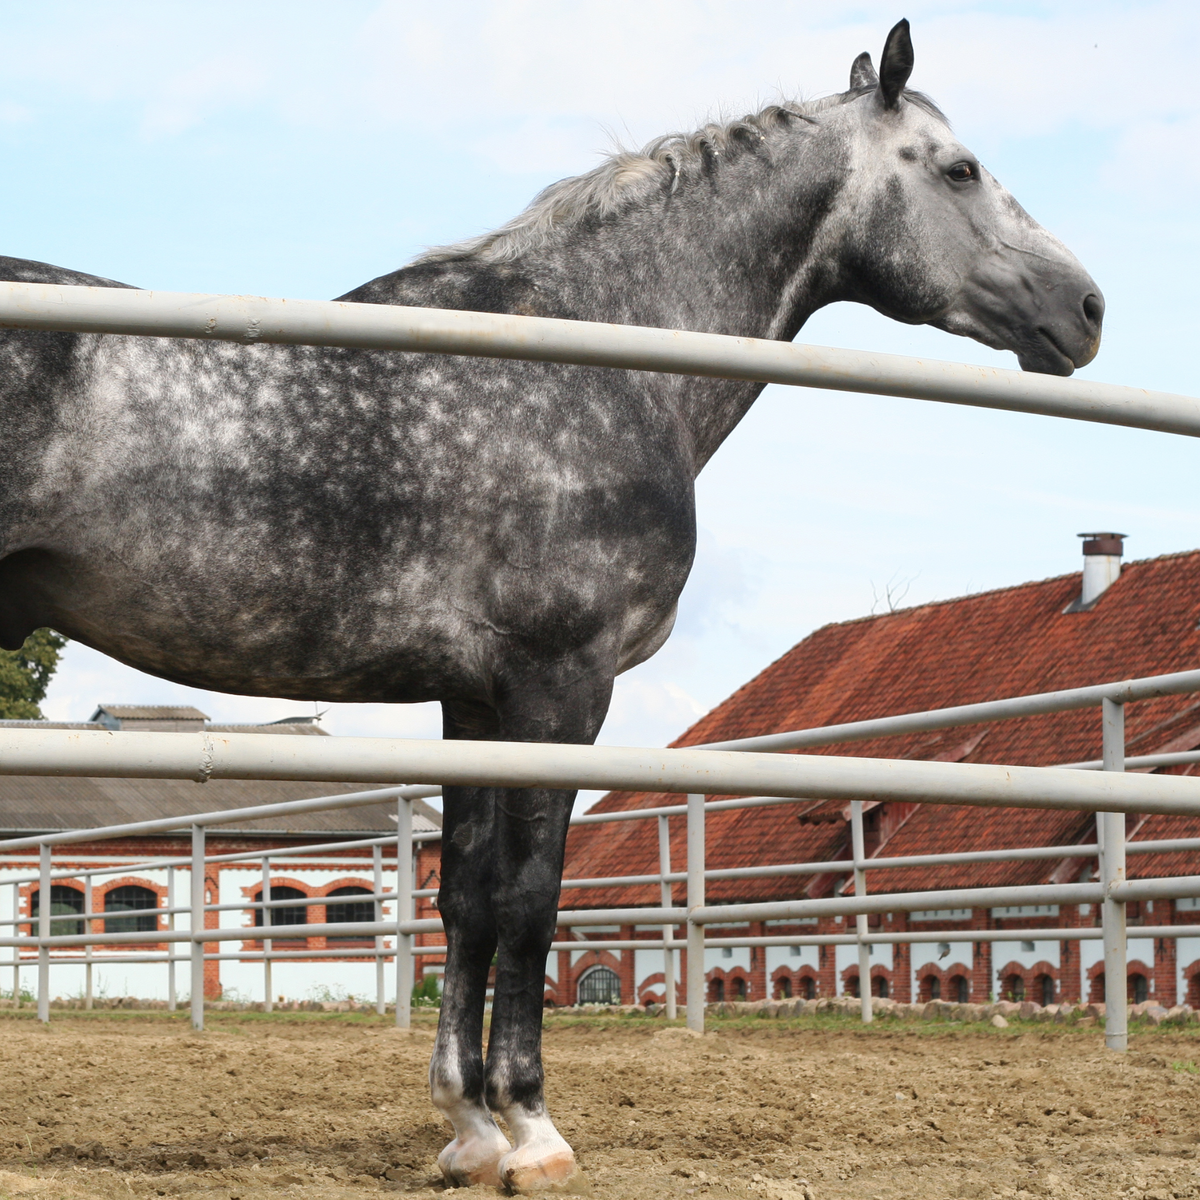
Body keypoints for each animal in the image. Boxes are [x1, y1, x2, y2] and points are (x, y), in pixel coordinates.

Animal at [0, 19, 1101, 1193]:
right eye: (961, 169)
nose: (1086, 309)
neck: (597, 355)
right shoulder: (560, 685)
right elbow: (531, 899)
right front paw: (531, 1126)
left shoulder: (476, 699)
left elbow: (467, 900)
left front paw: (467, 1127)